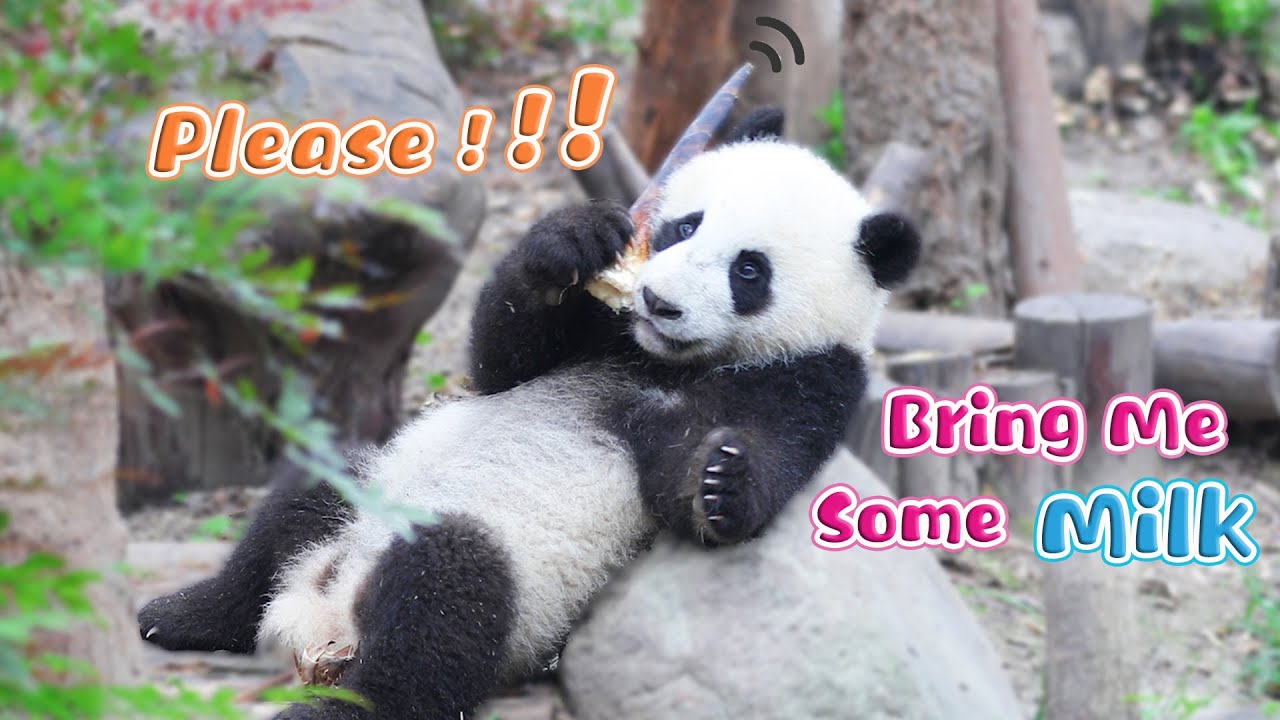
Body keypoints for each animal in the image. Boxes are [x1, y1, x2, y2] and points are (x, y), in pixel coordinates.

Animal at [136, 107, 920, 720]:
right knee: (306, 496)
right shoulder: (594, 333)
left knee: (442, 609)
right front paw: (569, 244)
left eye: (748, 271)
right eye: (683, 228)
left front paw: (722, 480)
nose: (657, 302)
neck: (660, 360)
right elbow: (501, 360)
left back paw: (336, 705)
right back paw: (180, 615)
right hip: (373, 484)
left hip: (513, 596)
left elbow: (731, 459)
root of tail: (318, 612)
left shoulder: (808, 374)